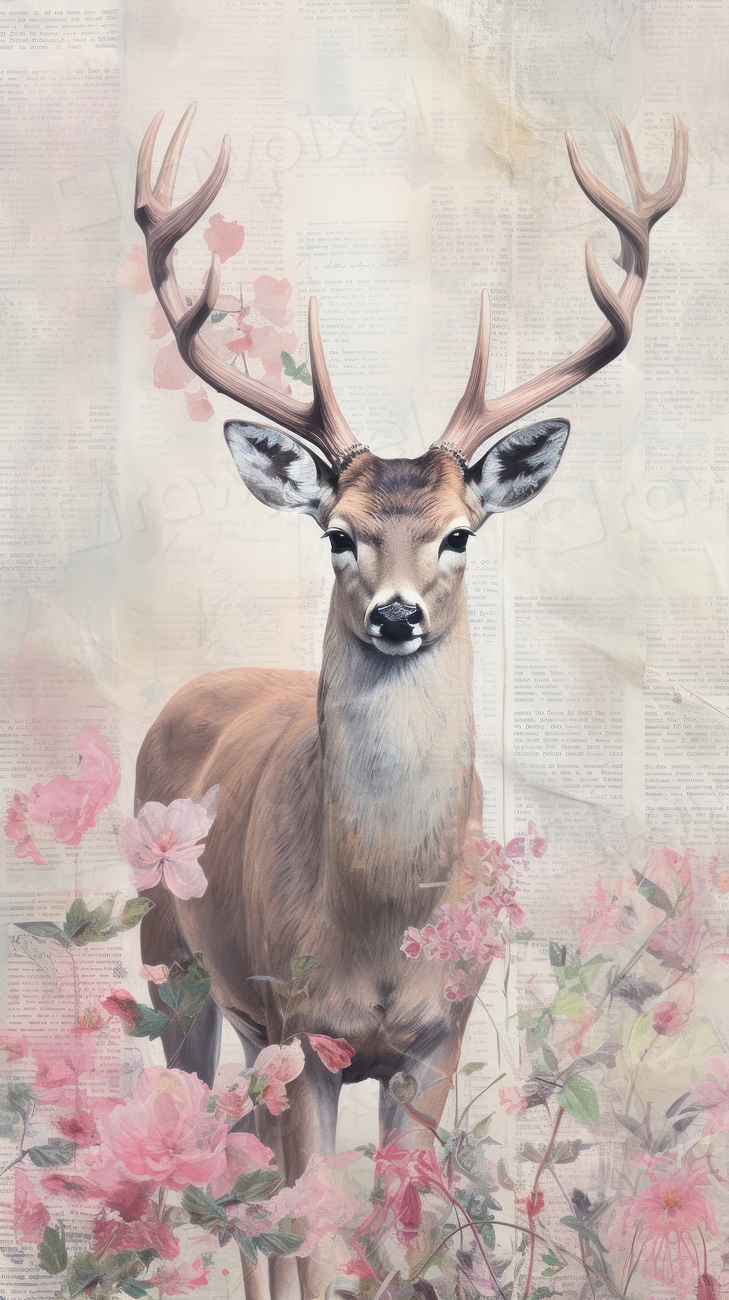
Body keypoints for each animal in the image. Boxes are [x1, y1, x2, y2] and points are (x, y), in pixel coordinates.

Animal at [133, 105, 687, 1300]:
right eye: (337, 534)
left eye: (461, 533)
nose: (394, 616)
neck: (380, 921)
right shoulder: (302, 1026)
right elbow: (313, 1236)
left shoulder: (440, 1031)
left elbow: (398, 1236)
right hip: (173, 963)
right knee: (220, 1165)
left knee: (246, 1174)